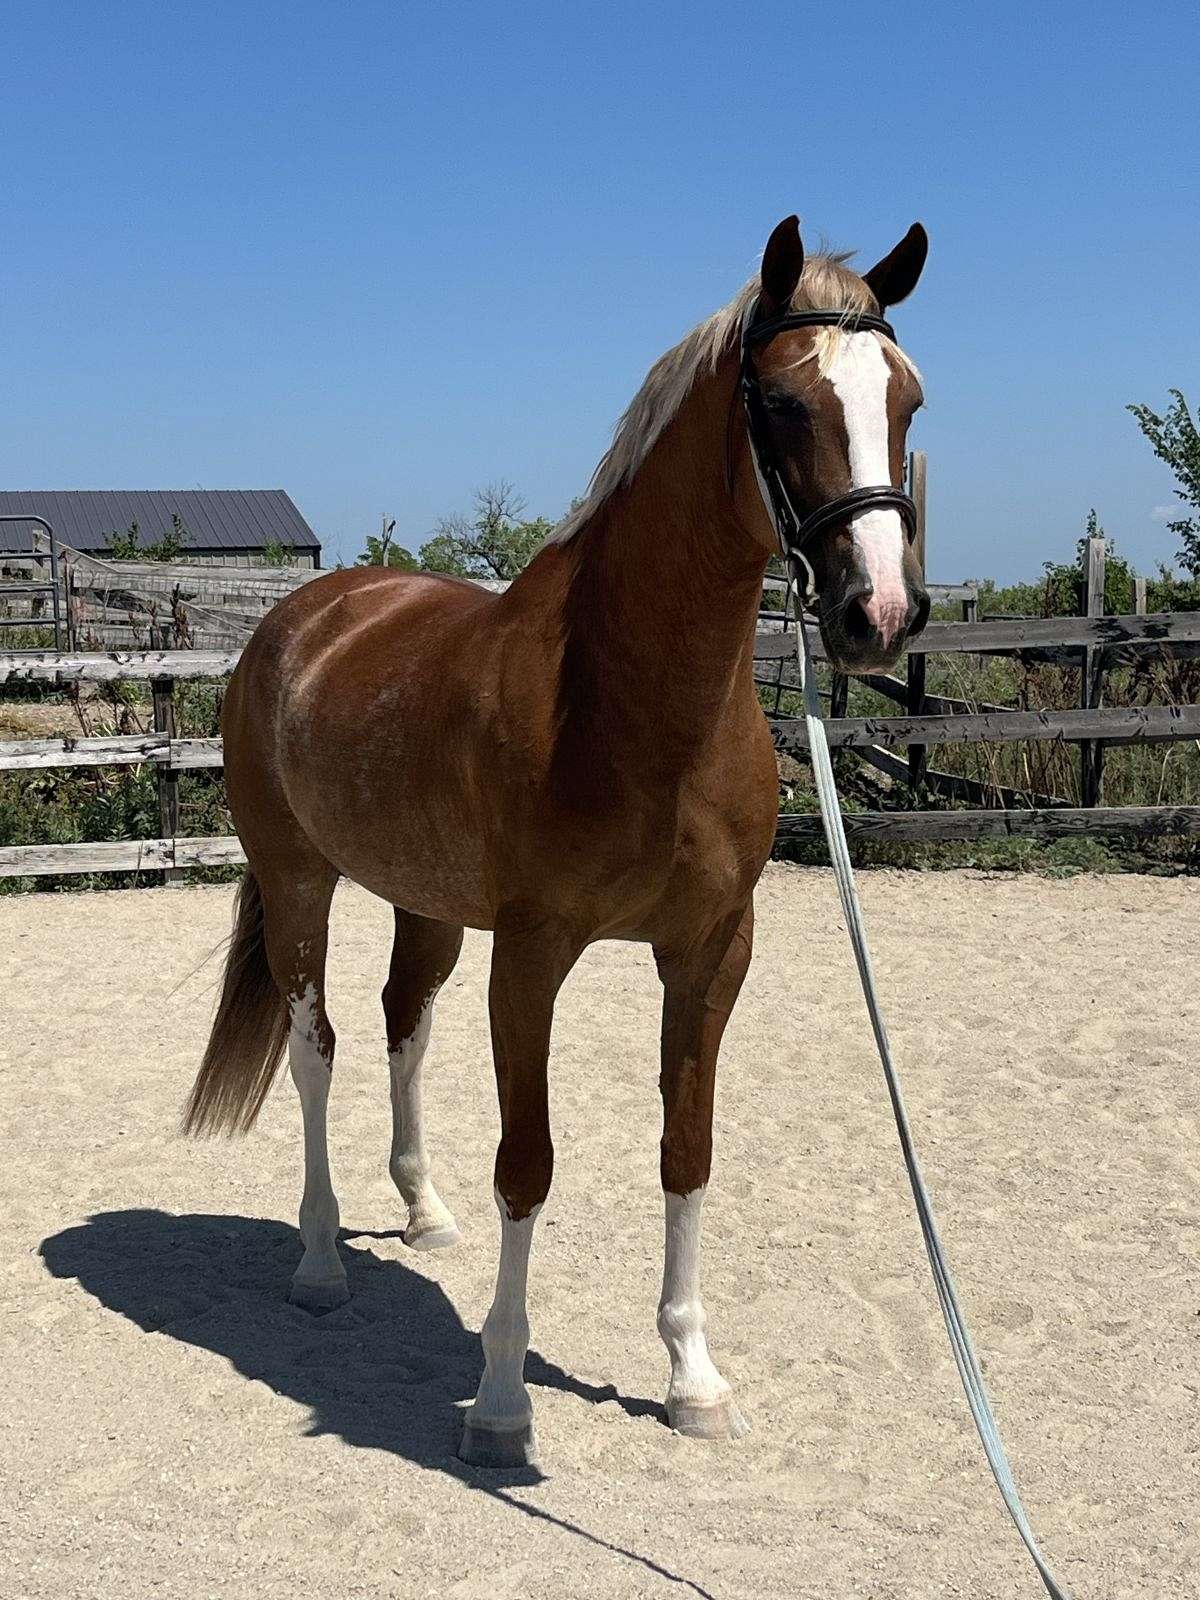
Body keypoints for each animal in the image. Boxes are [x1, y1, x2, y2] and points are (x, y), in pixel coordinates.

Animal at [185, 213, 930, 1467]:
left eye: (910, 399)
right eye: (784, 404)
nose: (876, 615)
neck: (629, 700)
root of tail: (305, 617)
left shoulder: (711, 953)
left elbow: (687, 1149)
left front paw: (692, 1378)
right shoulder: (531, 955)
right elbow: (527, 1165)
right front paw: (499, 1400)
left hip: (425, 904)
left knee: (402, 1024)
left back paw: (423, 1210)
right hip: (299, 884)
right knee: (317, 1047)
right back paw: (322, 1261)